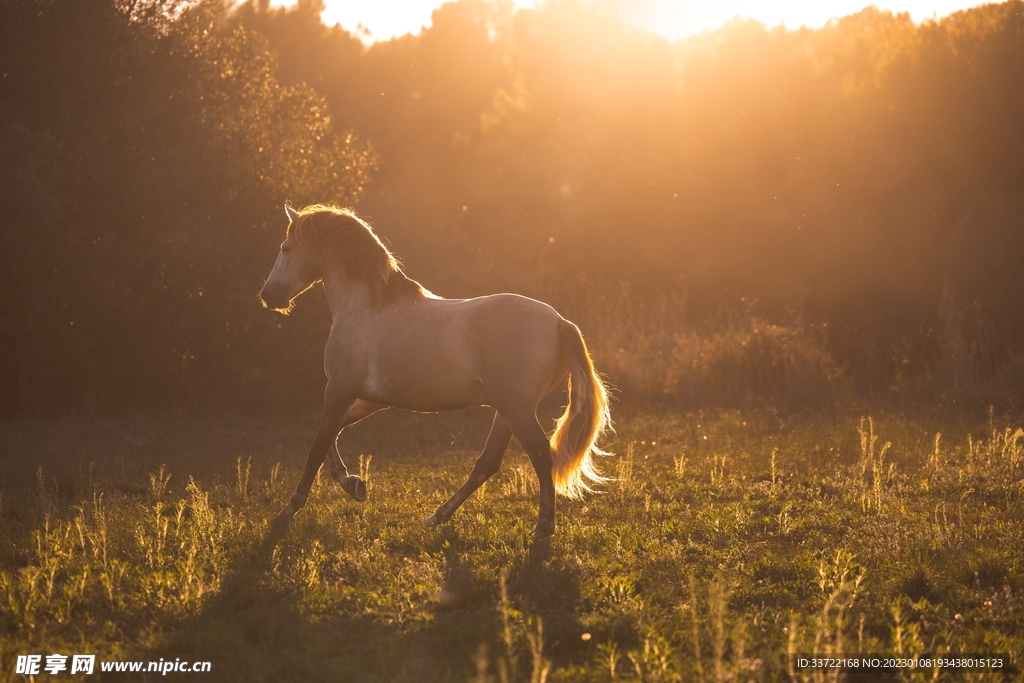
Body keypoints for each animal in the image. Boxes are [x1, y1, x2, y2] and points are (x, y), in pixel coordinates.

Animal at [259, 204, 612, 536]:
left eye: (285, 247)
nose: (268, 296)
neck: (366, 307)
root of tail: (560, 322)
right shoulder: (369, 399)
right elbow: (331, 434)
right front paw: (354, 484)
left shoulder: (339, 388)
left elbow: (318, 445)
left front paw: (288, 512)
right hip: (508, 412)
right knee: (487, 463)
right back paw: (436, 517)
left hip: (518, 412)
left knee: (540, 456)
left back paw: (543, 527)